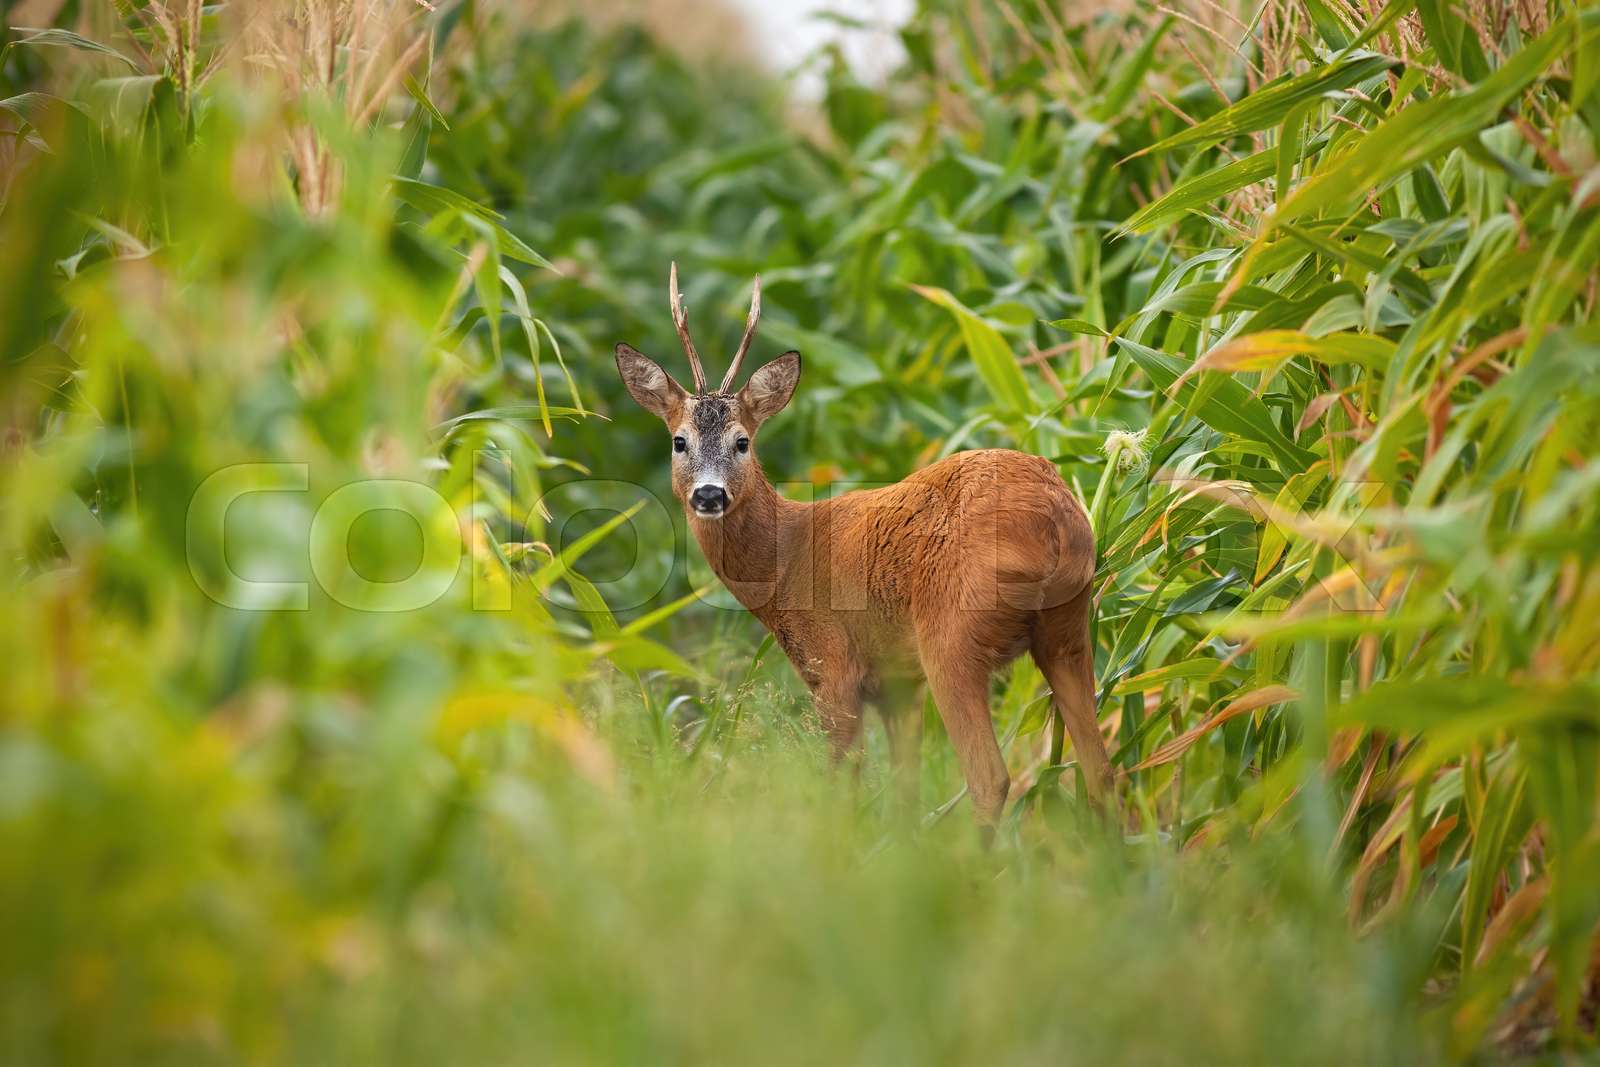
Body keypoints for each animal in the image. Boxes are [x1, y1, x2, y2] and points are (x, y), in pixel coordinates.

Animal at [614, 264, 1113, 835]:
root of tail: (1056, 518)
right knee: (1101, 771)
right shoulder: (897, 683)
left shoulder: (834, 665)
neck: (785, 561)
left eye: (743, 441)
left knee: (990, 777)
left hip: (952, 633)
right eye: (679, 441)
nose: (710, 494)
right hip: (1069, 626)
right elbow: (905, 791)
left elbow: (839, 783)